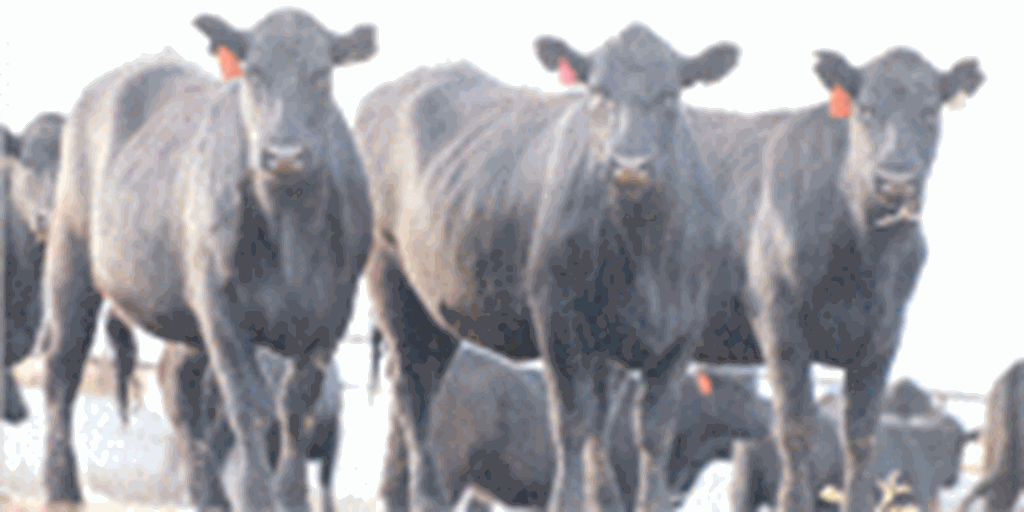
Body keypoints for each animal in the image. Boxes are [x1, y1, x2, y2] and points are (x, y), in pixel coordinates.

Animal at [355, 23, 740, 511]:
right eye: (597, 92)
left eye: (670, 94)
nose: (629, 164)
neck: (643, 255)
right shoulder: (558, 321)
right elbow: (572, 423)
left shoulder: (678, 335)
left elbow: (648, 430)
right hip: (390, 280)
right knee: (412, 393)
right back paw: (427, 495)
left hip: (435, 310)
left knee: (424, 383)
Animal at [672, 46, 986, 511]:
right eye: (867, 109)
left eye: (930, 111)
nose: (896, 179)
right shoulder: (780, 326)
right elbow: (795, 430)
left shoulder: (883, 339)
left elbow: (860, 438)